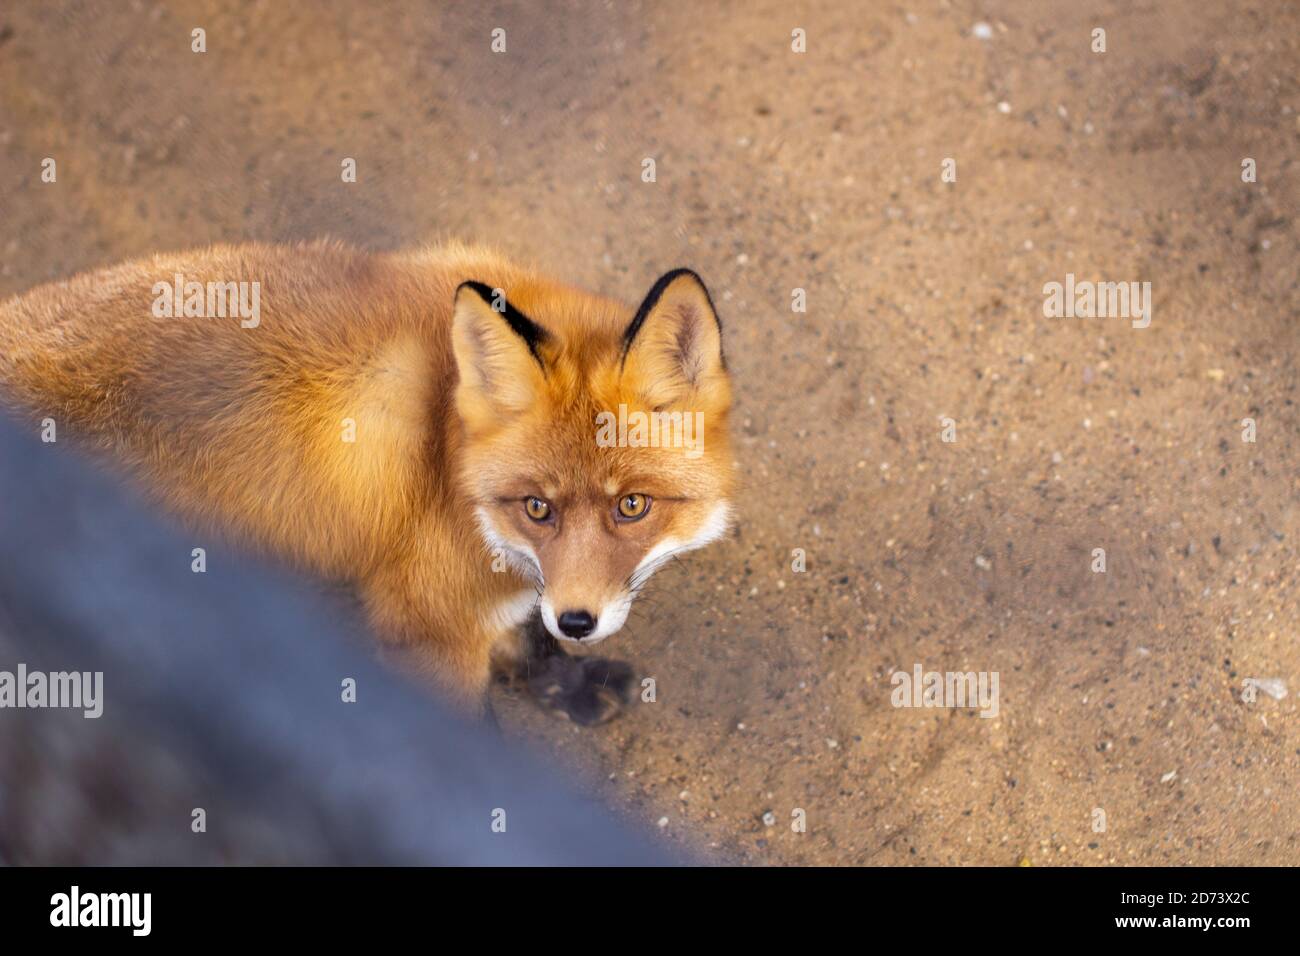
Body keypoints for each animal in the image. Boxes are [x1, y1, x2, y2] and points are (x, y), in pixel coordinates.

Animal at [0, 240, 735, 723]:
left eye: (632, 505)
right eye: (537, 507)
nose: (579, 621)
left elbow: (530, 639)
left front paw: (570, 686)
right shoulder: (428, 625)